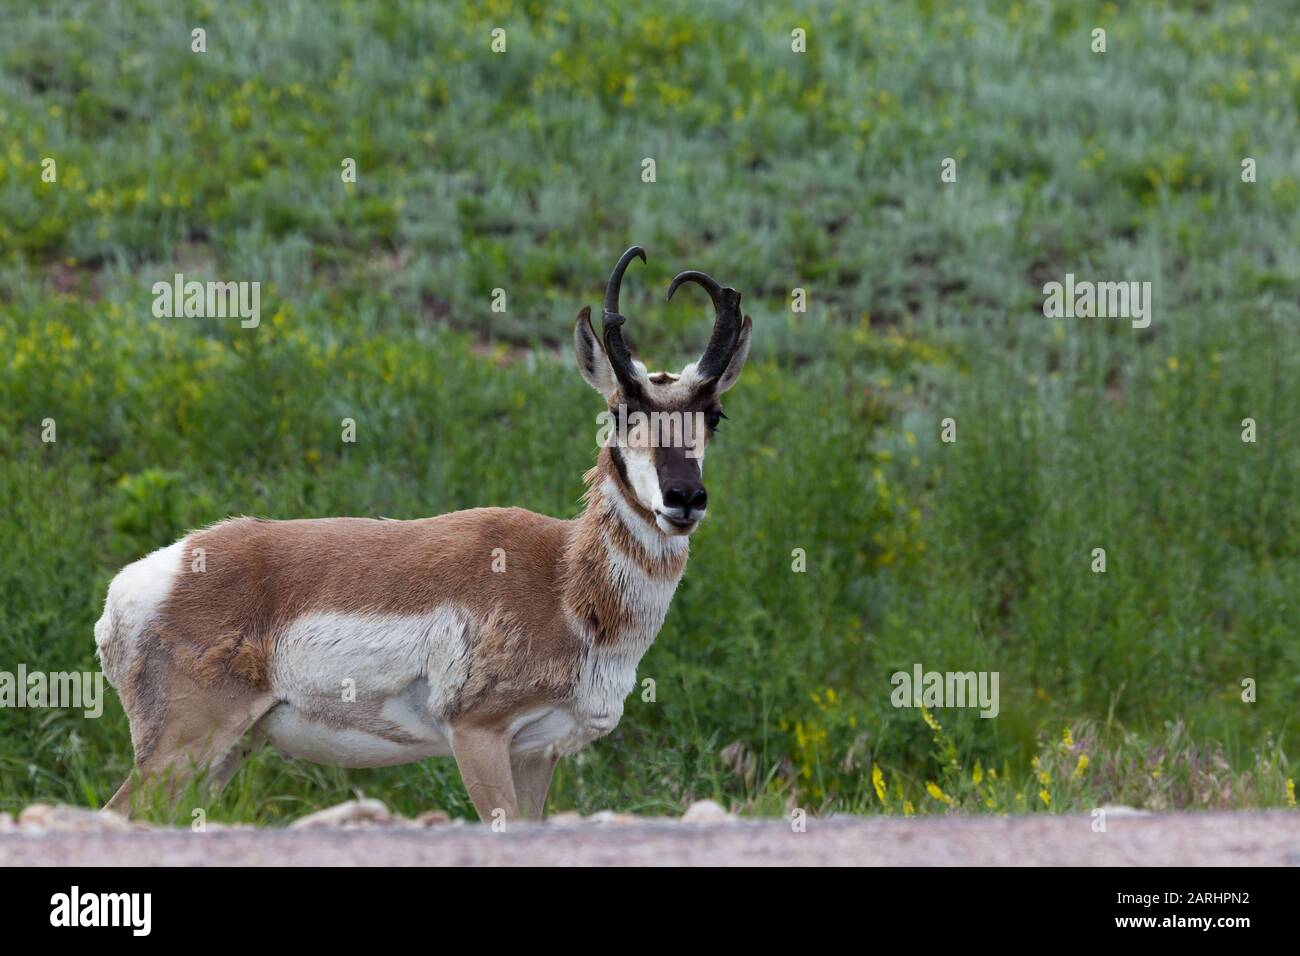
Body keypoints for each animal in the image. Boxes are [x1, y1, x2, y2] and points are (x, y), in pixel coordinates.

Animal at [95, 247, 752, 822]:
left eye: (714, 414)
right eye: (620, 411)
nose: (684, 498)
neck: (563, 581)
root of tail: (138, 583)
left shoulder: (538, 752)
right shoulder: (477, 736)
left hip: (228, 752)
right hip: (185, 747)